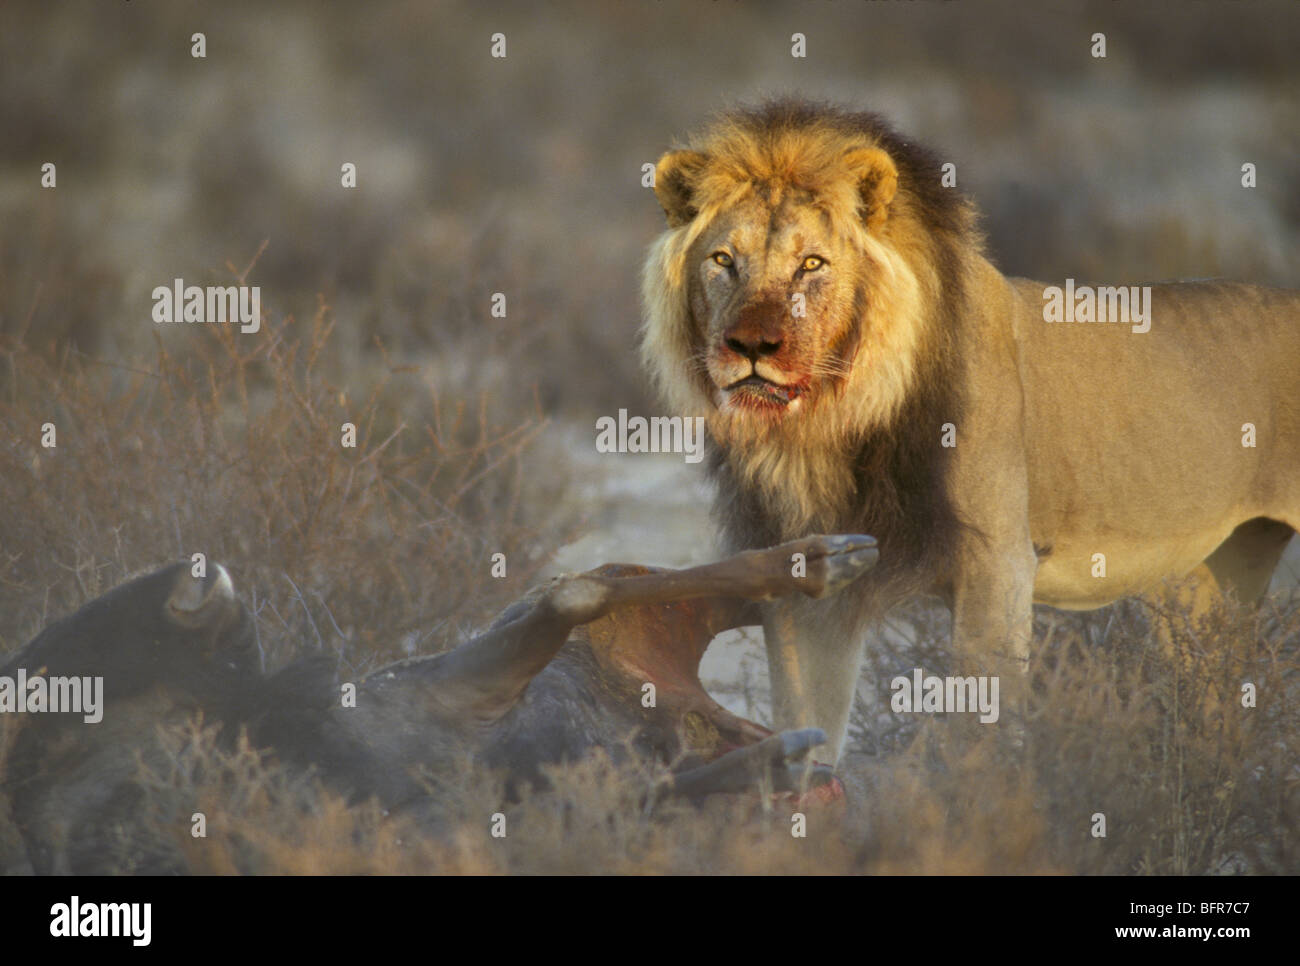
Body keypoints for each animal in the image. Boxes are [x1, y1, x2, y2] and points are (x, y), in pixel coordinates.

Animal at [641, 98, 1300, 763]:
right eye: (724, 261)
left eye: (811, 264)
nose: (750, 345)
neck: (830, 424)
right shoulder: (805, 579)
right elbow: (808, 730)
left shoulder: (998, 562)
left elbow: (984, 734)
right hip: (1205, 584)